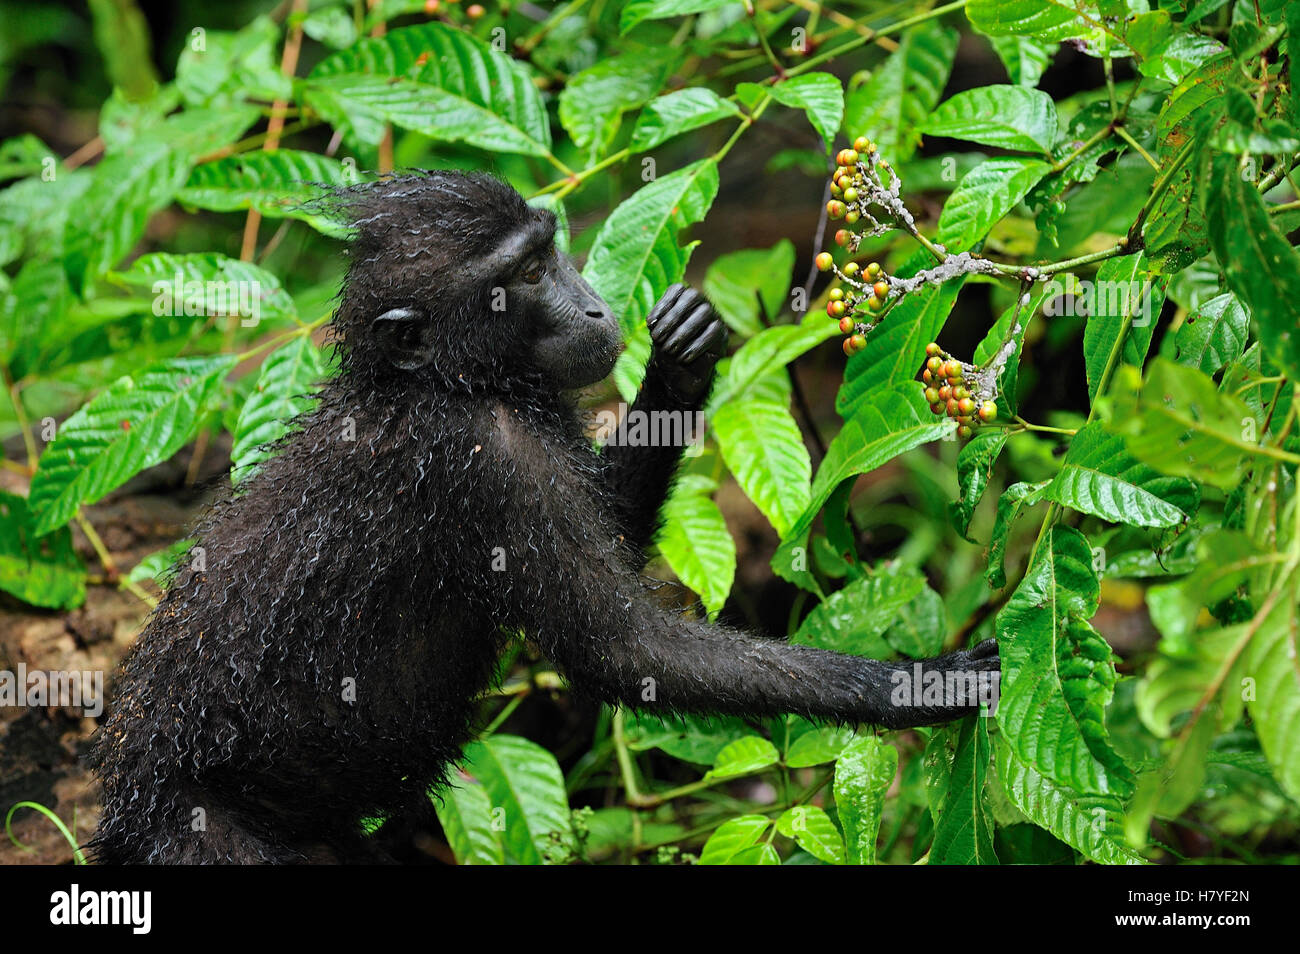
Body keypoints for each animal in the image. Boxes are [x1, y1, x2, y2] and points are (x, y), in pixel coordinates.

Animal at [87, 171, 999, 864]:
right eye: (524, 276)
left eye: (548, 250)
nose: (595, 309)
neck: (442, 381)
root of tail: (130, 795)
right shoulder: (489, 460)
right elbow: (621, 648)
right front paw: (923, 685)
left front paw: (680, 359)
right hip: (205, 838)